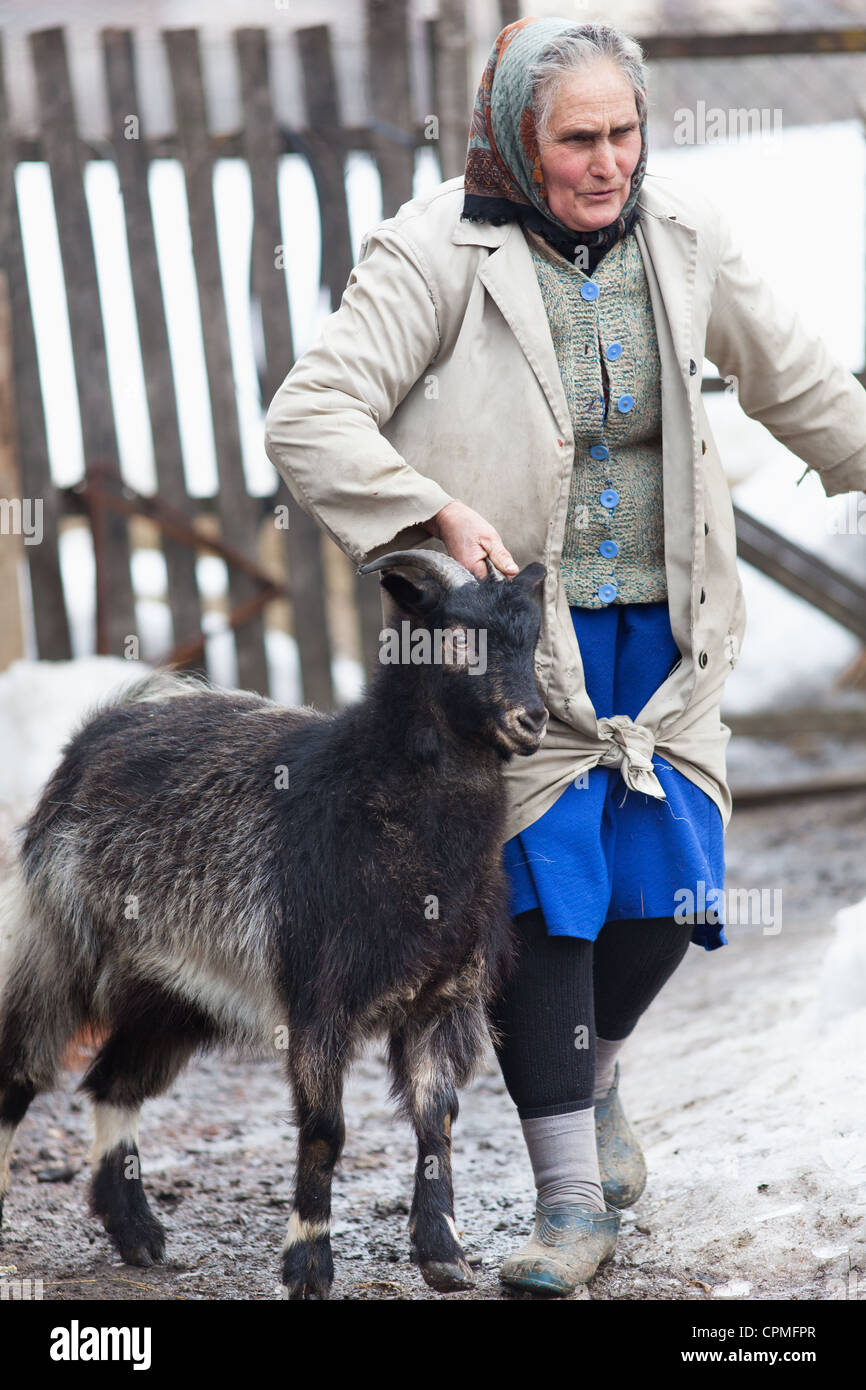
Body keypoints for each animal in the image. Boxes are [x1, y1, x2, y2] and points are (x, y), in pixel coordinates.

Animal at [0, 549, 547, 1298]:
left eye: (535, 637)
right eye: (461, 637)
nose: (534, 719)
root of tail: (100, 727)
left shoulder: (443, 1000)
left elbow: (436, 1121)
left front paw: (444, 1254)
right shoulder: (318, 999)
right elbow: (324, 1128)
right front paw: (308, 1263)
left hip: (172, 988)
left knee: (113, 1082)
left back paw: (137, 1232)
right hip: (62, 940)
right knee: (20, 1070)